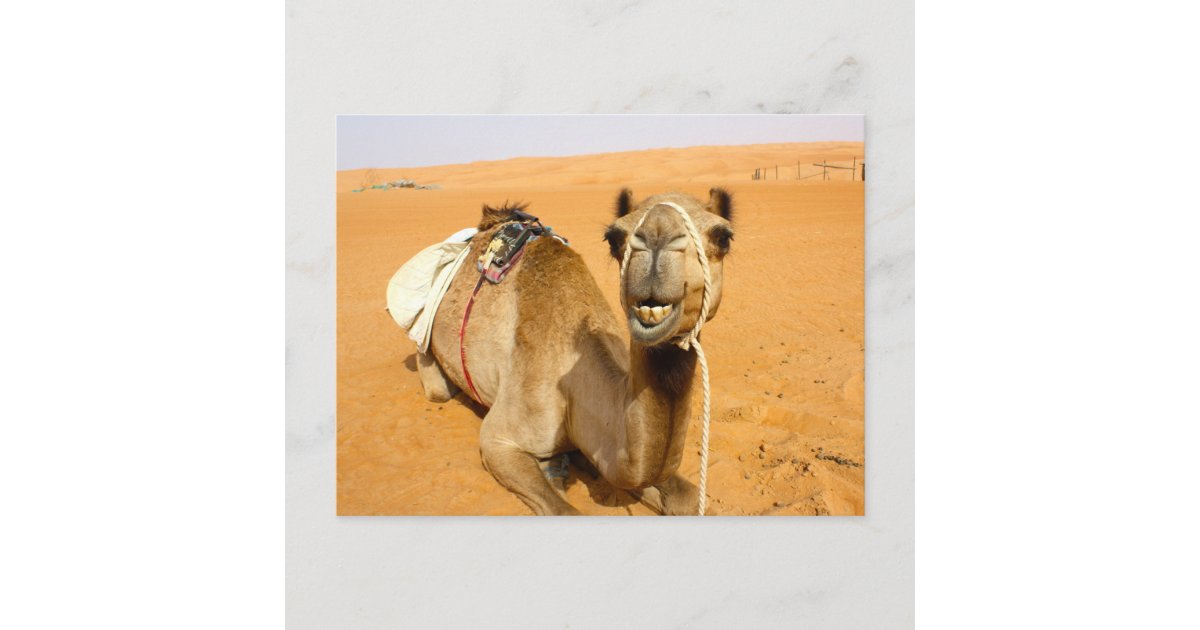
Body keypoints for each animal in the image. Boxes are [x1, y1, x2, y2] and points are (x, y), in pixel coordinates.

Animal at [413, 188, 734, 515]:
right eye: (614, 238)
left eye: (723, 237)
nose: (657, 236)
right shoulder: (498, 440)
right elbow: (562, 509)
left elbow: (688, 497)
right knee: (435, 383)